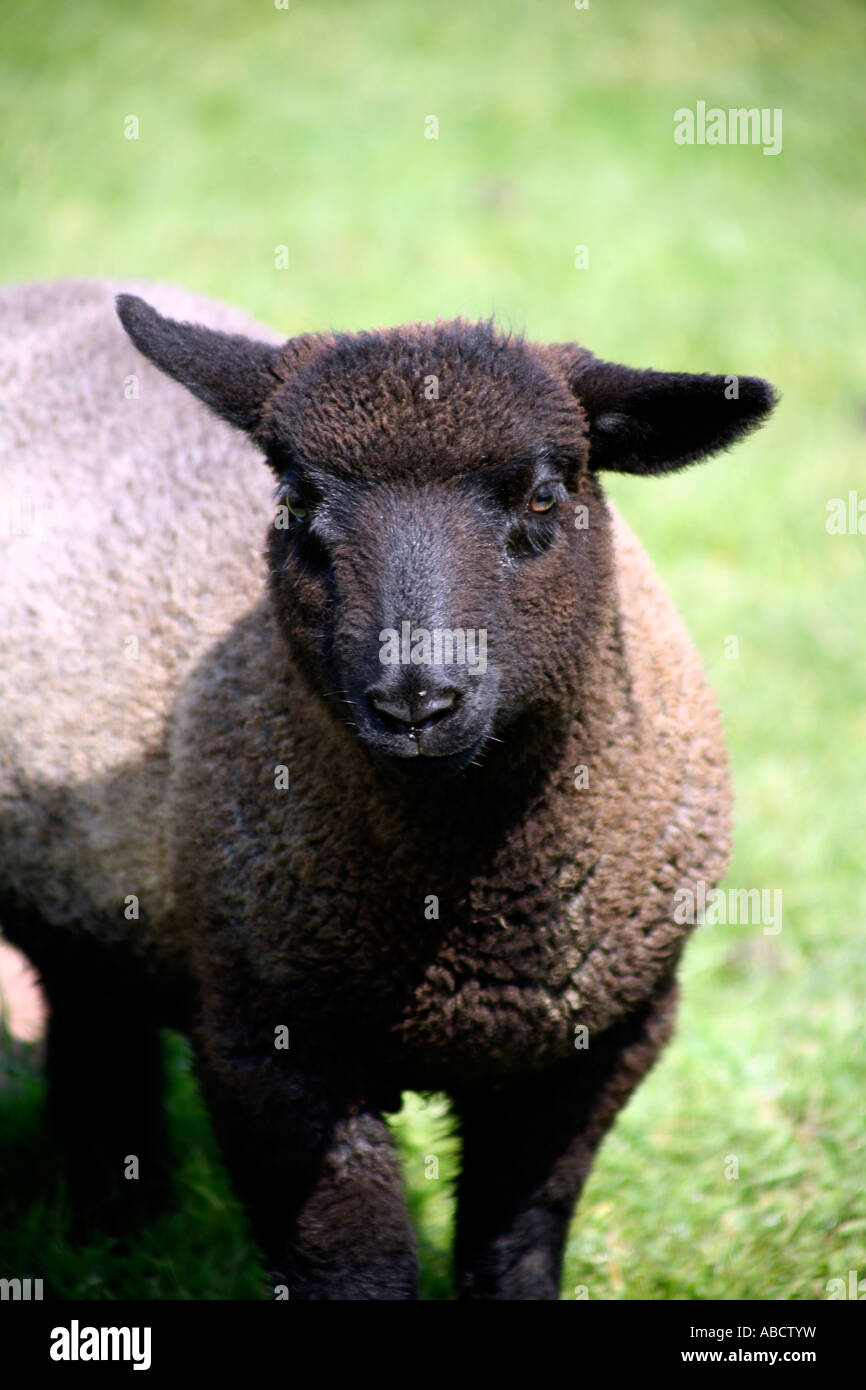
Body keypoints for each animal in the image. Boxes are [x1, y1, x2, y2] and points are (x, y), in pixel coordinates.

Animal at [0, 278, 776, 1300]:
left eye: (545, 494)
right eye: (294, 498)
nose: (416, 700)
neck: (469, 912)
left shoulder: (602, 1037)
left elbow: (516, 1246)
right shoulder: (268, 1047)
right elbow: (354, 1266)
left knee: (95, 1027)